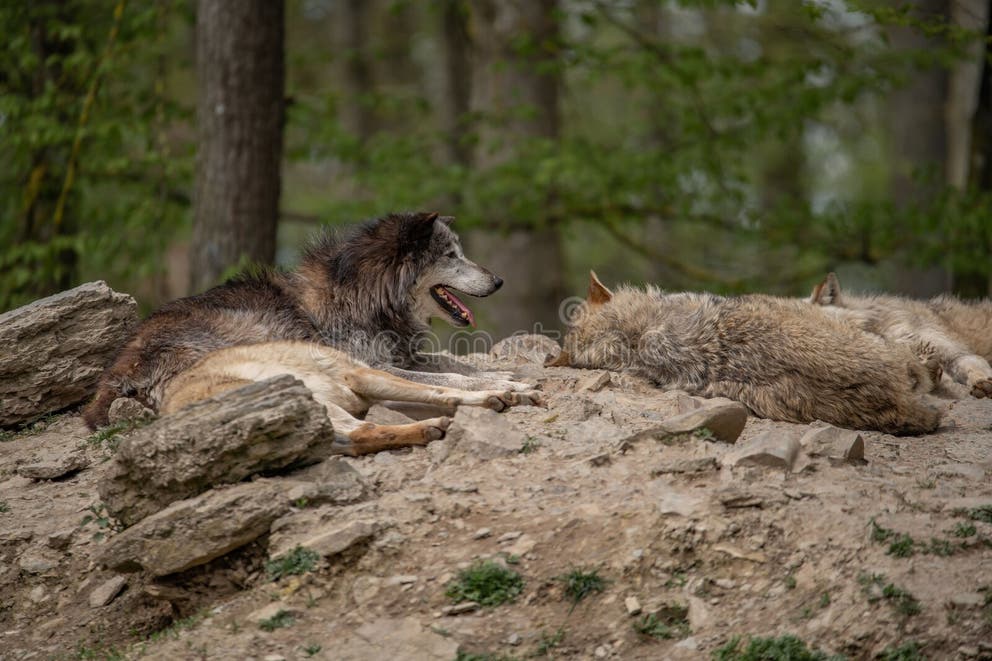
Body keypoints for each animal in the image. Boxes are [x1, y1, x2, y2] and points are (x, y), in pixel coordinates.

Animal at [160, 340, 541, 456]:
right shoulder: (362, 376)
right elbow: (446, 387)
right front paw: (505, 392)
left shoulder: (370, 395)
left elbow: (449, 389)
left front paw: (512, 388)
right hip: (309, 400)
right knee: (362, 432)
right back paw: (433, 427)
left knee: (360, 437)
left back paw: (428, 430)